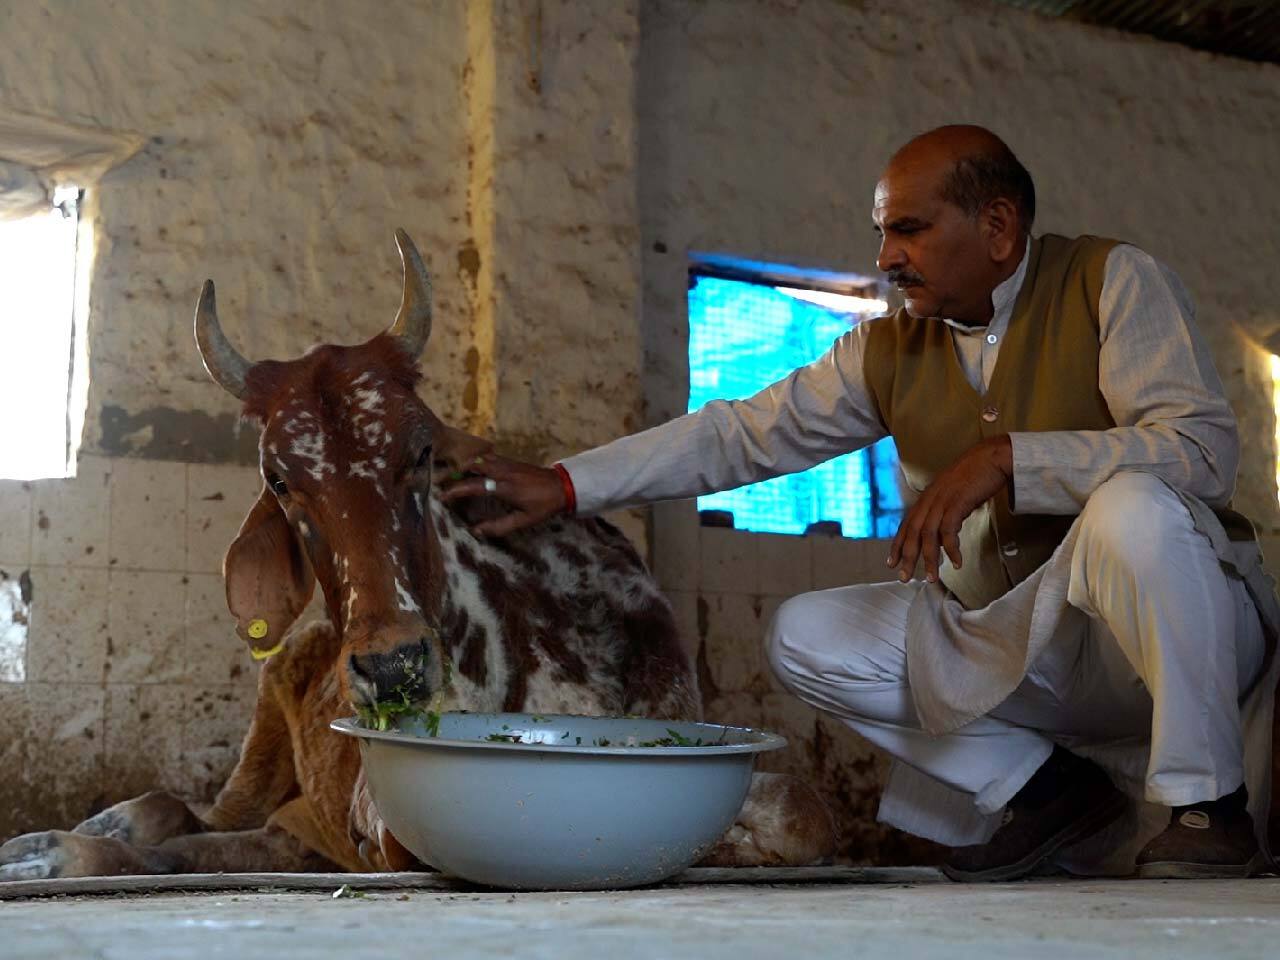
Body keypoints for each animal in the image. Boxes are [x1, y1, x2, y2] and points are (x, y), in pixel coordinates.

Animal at [0, 230, 836, 881]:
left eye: (422, 448)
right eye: (279, 477)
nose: (391, 666)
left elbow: (802, 810)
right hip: (259, 753)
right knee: (183, 814)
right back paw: (65, 845)